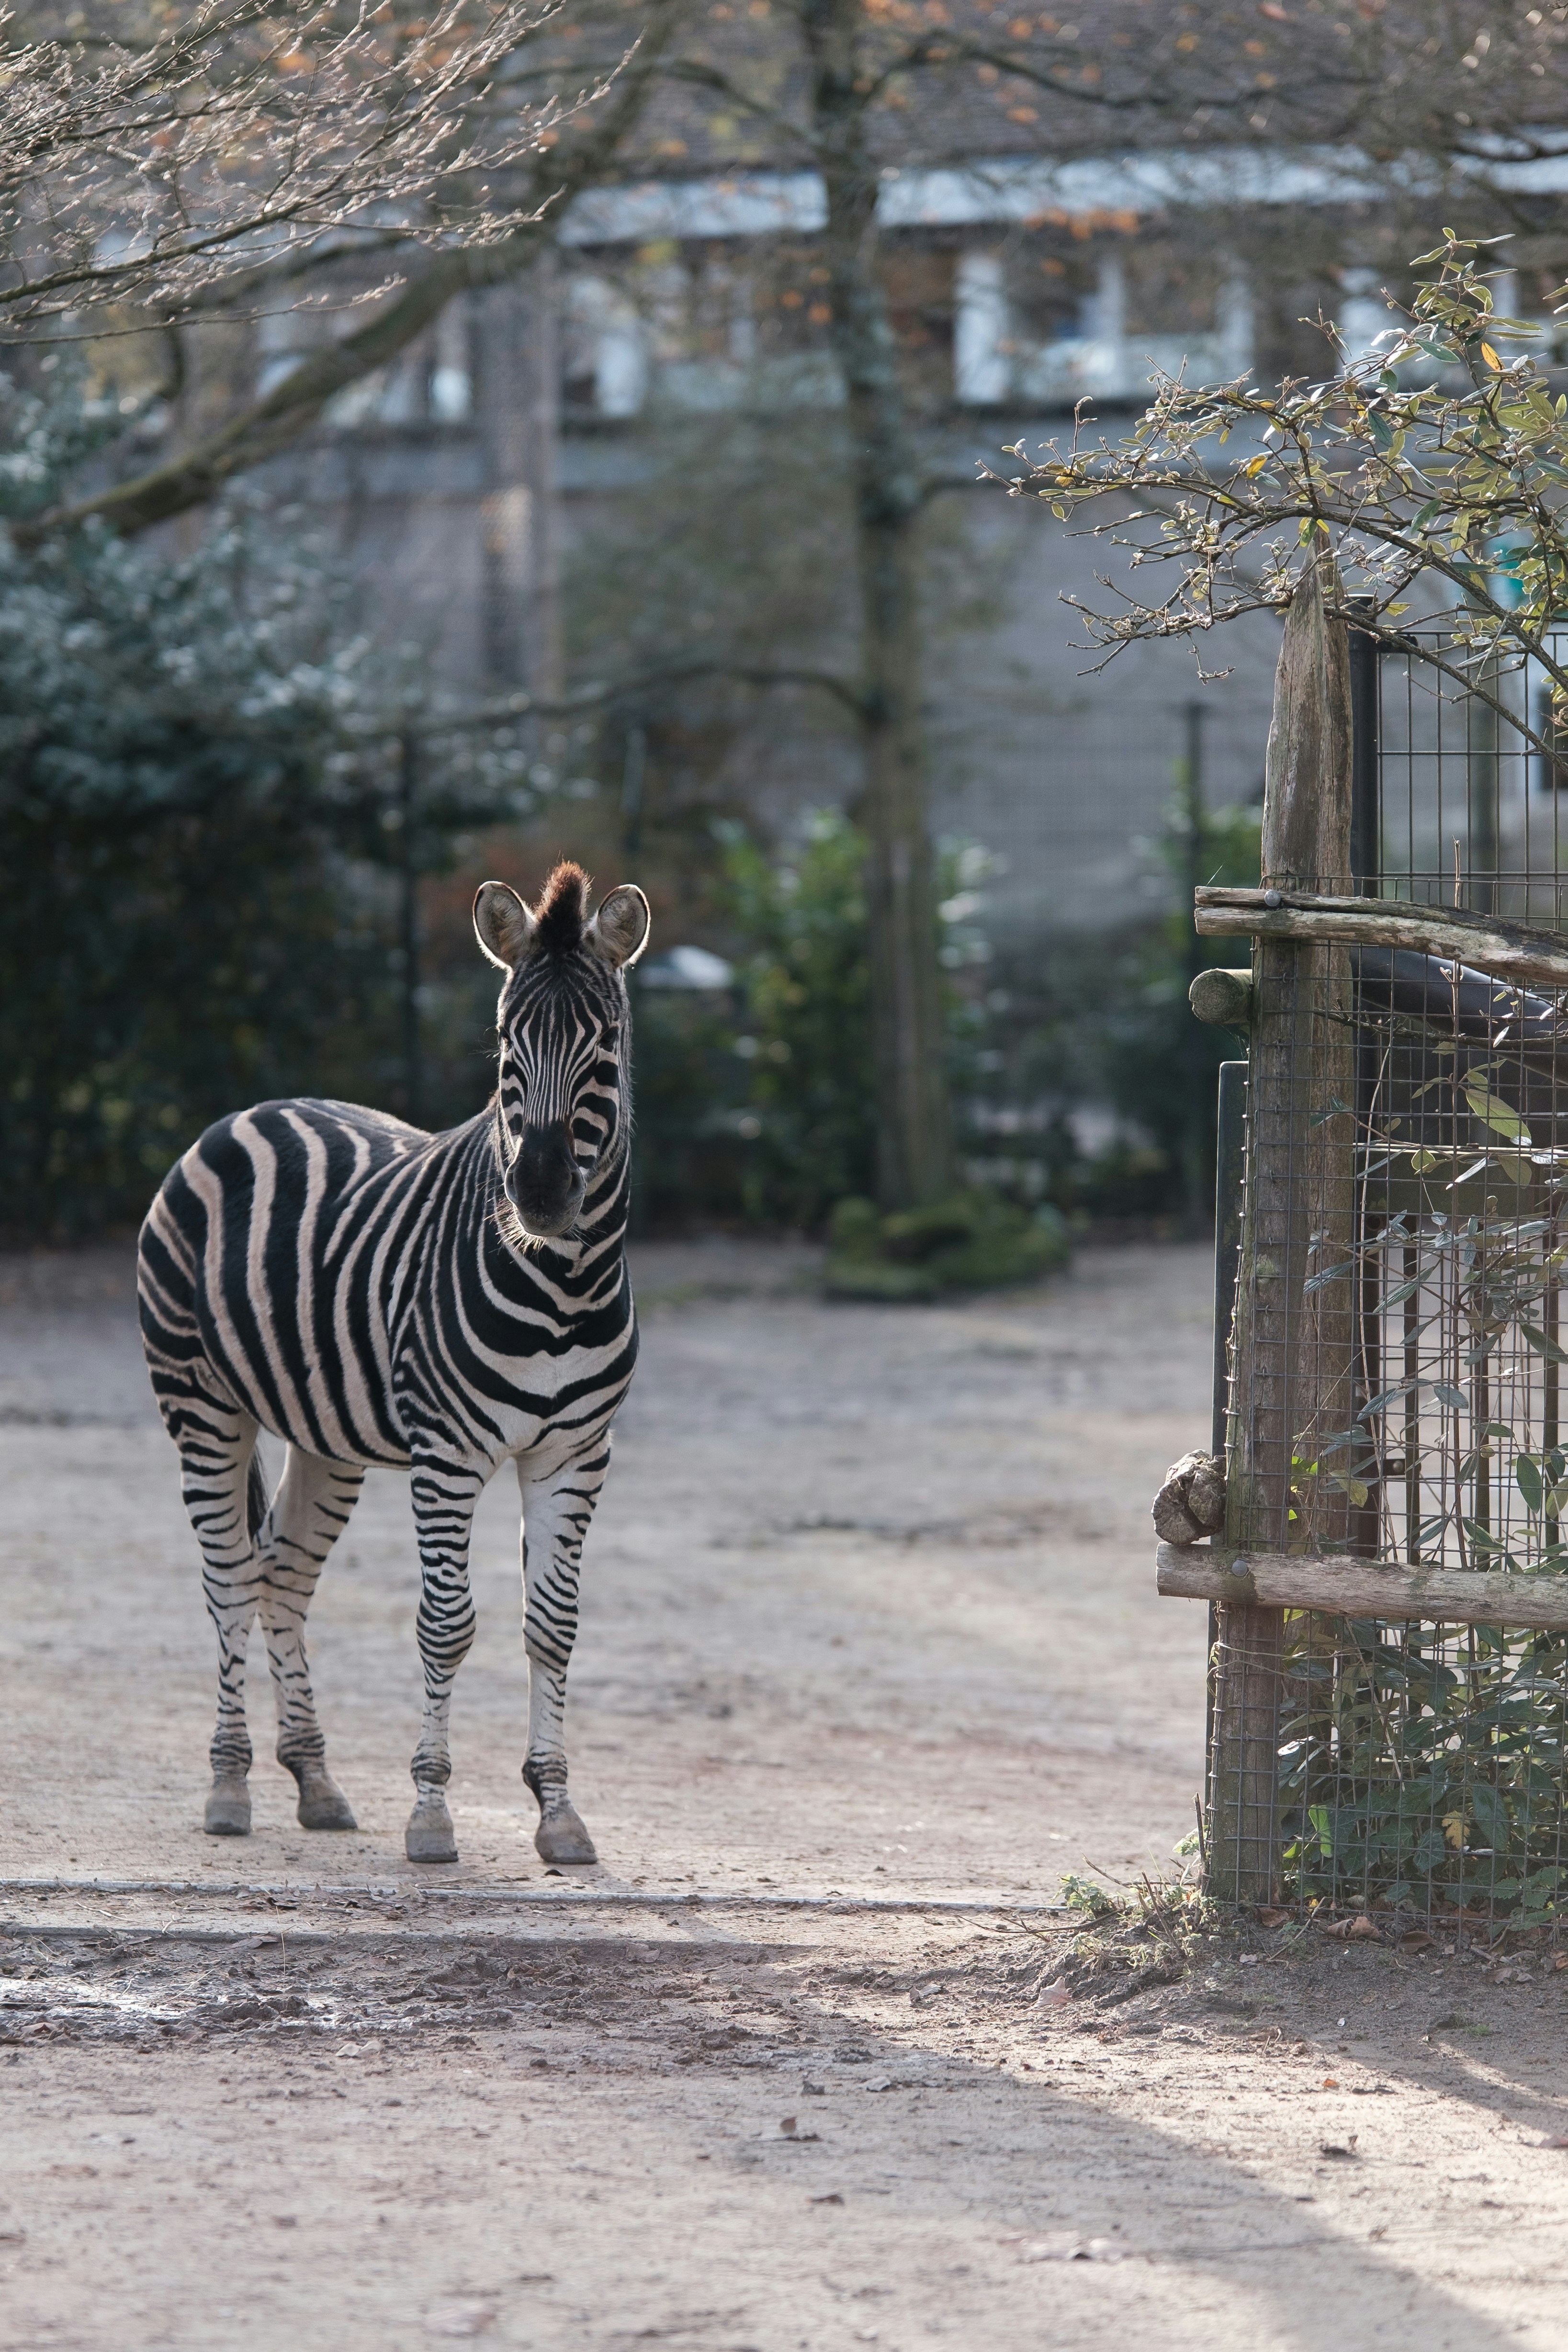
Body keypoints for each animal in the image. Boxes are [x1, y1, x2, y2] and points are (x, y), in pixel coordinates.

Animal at [136, 862, 649, 1867]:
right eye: (507, 1041)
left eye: (604, 1043)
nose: (539, 1192)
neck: (562, 1283)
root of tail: (248, 1110)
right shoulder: (447, 1454)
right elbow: (447, 1625)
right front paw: (433, 1812)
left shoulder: (575, 1453)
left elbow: (552, 1626)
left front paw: (558, 1810)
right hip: (202, 1406)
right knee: (229, 1580)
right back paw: (229, 1786)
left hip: (326, 1436)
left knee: (281, 1575)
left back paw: (315, 1780)